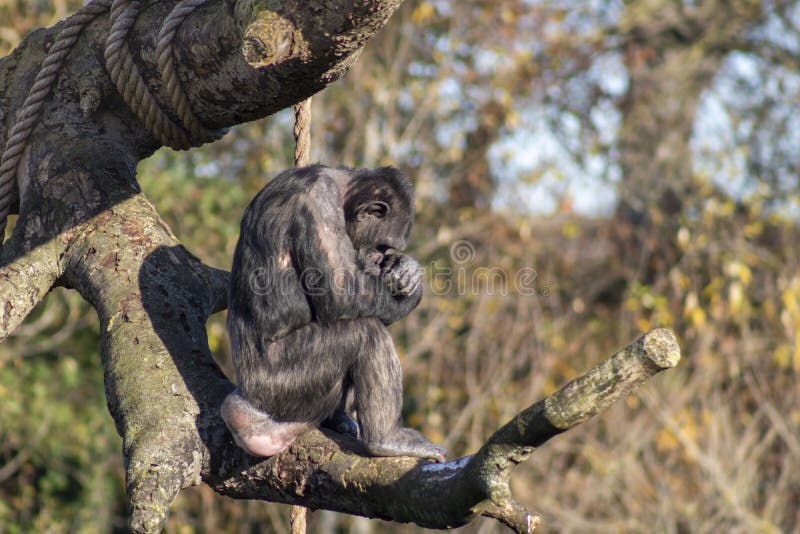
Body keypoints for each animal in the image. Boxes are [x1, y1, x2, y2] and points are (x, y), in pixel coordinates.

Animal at [221, 164, 445, 462]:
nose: (380, 258)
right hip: (280, 383)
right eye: (382, 245)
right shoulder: (319, 204)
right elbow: (343, 292)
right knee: (365, 331)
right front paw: (413, 289)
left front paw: (405, 268)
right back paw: (387, 439)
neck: (341, 190)